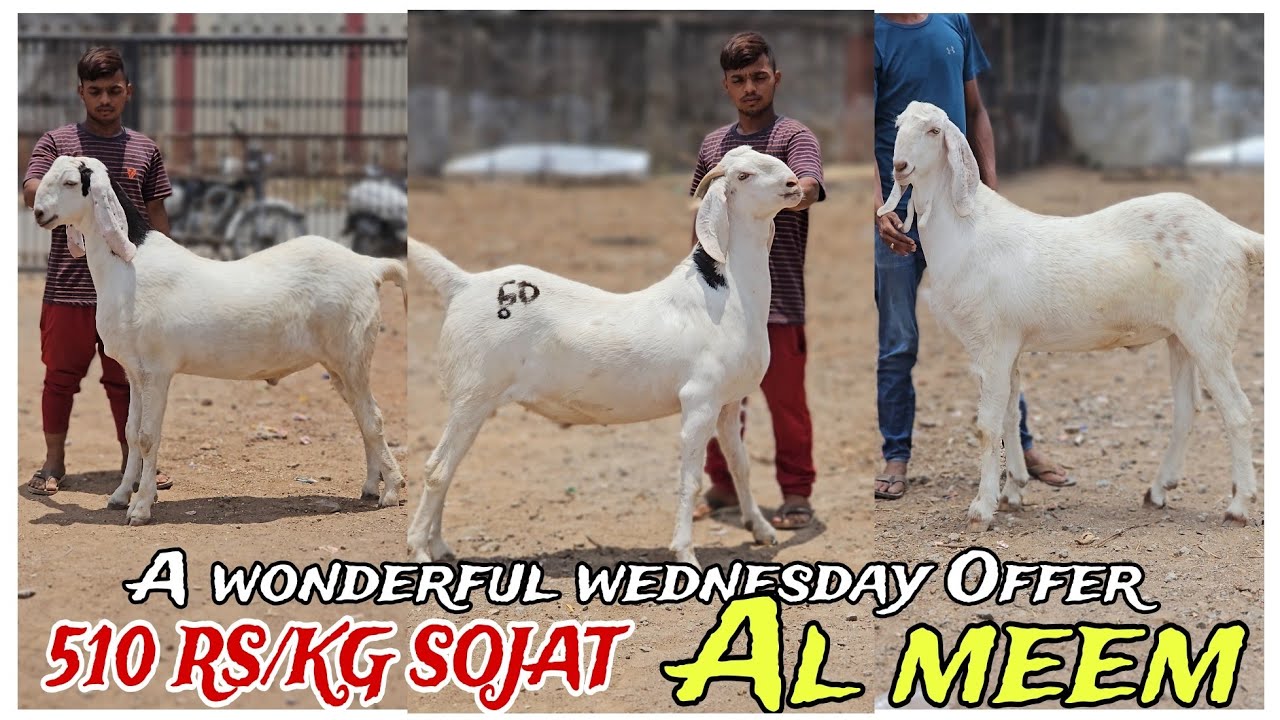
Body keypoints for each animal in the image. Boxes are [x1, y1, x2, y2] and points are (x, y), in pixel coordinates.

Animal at [32, 155, 407, 525]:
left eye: (70, 182)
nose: (38, 213)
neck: (131, 265)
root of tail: (370, 266)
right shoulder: (135, 373)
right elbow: (130, 432)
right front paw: (121, 495)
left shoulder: (157, 371)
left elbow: (147, 436)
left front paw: (140, 508)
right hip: (338, 365)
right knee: (362, 418)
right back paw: (371, 487)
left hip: (351, 356)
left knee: (373, 418)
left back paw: (391, 490)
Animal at [409, 145, 803, 566]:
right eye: (744, 175)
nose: (794, 183)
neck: (724, 294)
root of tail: (464, 284)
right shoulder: (700, 400)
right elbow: (690, 480)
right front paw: (685, 553)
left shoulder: (728, 403)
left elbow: (741, 466)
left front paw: (762, 530)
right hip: (473, 394)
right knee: (437, 469)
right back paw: (419, 549)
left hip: (472, 402)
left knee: (449, 468)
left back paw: (439, 547)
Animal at [877, 101, 1264, 531]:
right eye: (898, 124)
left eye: (933, 131)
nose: (899, 166)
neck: (966, 231)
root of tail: (1236, 236)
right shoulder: (1010, 347)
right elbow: (1010, 415)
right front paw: (1014, 491)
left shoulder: (991, 345)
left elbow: (987, 425)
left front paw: (982, 508)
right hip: (1180, 337)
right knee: (1186, 408)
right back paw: (1159, 490)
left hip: (1210, 333)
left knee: (1238, 411)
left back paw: (1239, 505)